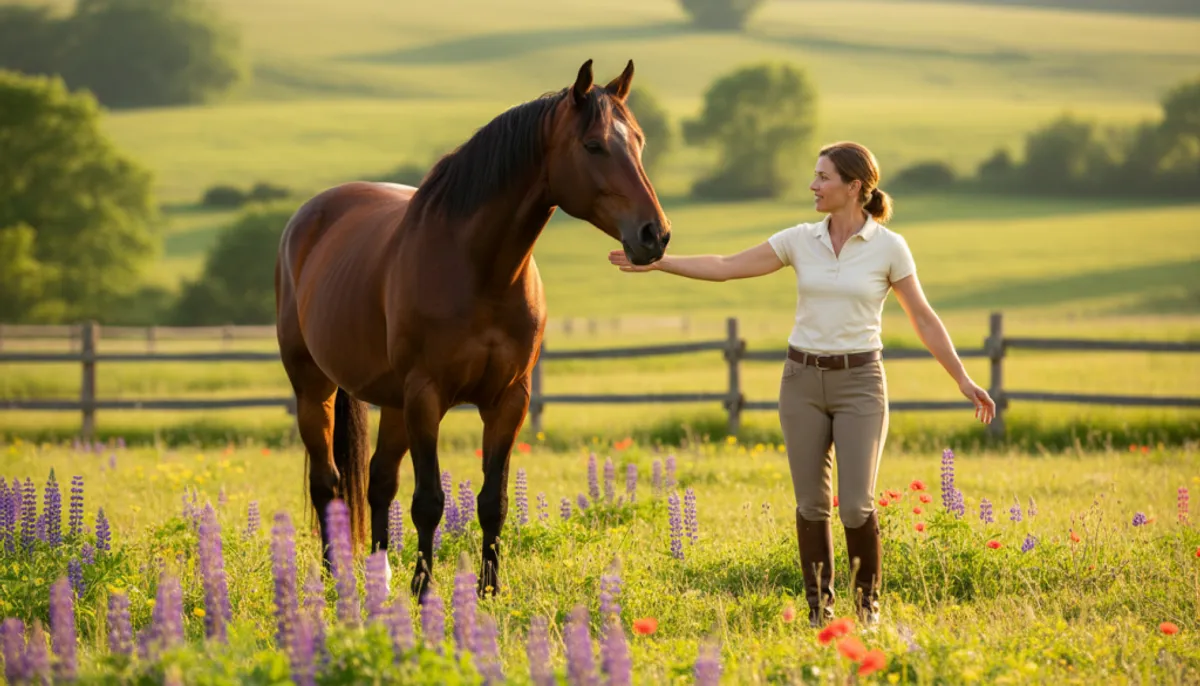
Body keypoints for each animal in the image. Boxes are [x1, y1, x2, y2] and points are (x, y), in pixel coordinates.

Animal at [274, 58, 671, 601]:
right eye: (594, 145)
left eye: (640, 141)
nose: (655, 235)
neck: (481, 270)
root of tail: (307, 219)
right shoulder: (426, 396)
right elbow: (429, 501)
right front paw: (424, 592)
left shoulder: (509, 400)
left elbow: (492, 501)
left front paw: (488, 592)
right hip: (314, 390)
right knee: (328, 483)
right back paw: (336, 580)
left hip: (392, 402)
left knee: (378, 481)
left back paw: (379, 578)